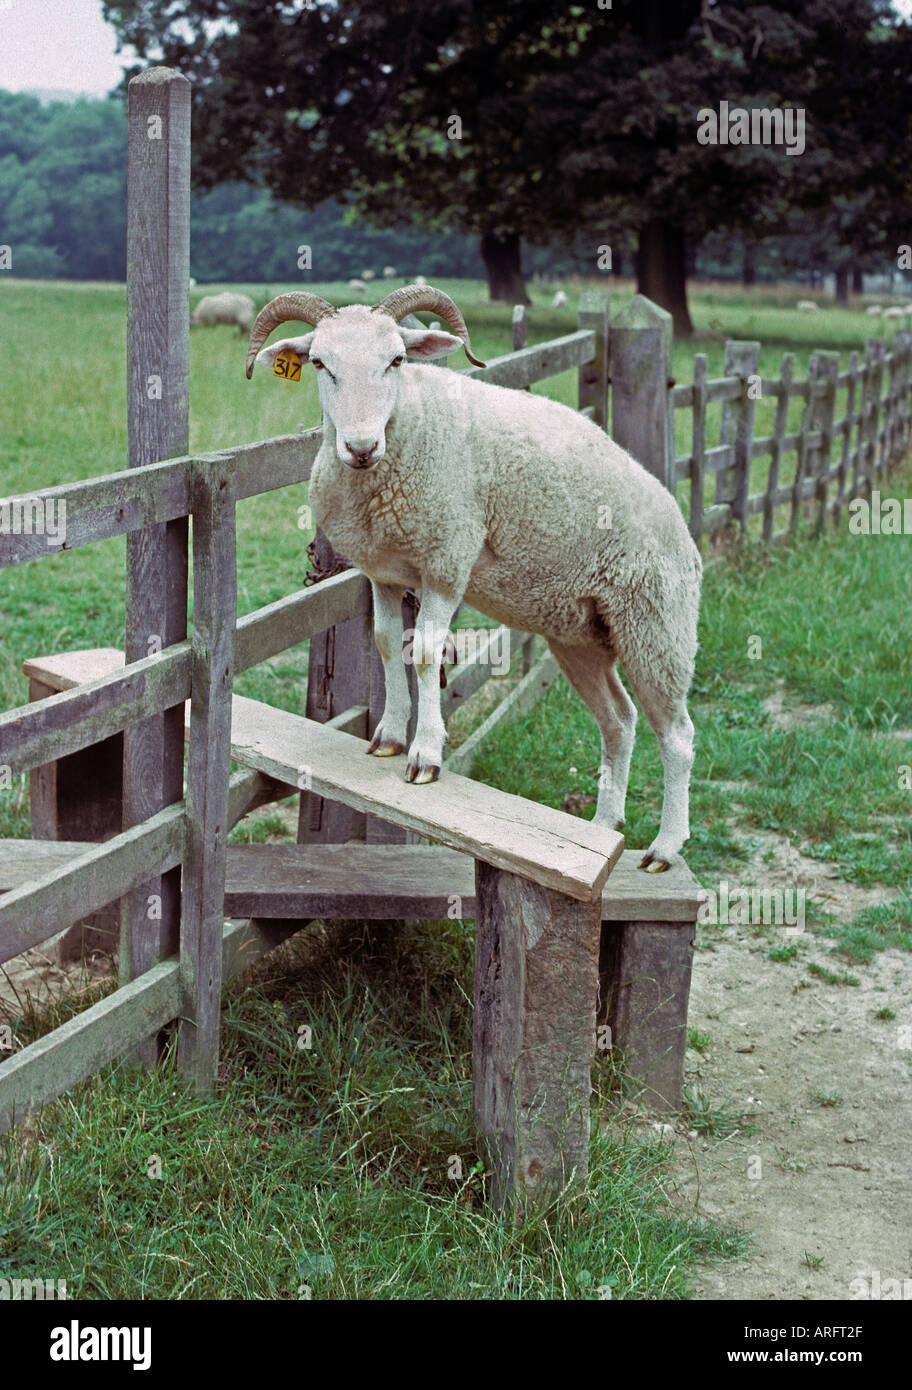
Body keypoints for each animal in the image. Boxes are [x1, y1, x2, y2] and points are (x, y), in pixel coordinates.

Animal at [245, 285, 702, 871]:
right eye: (321, 363)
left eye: (397, 360)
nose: (362, 448)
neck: (407, 427)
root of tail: (679, 522)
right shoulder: (382, 572)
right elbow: (387, 643)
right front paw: (390, 734)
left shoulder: (447, 560)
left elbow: (424, 653)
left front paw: (425, 754)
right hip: (580, 634)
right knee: (618, 721)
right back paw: (601, 830)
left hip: (656, 625)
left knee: (678, 736)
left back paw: (664, 848)